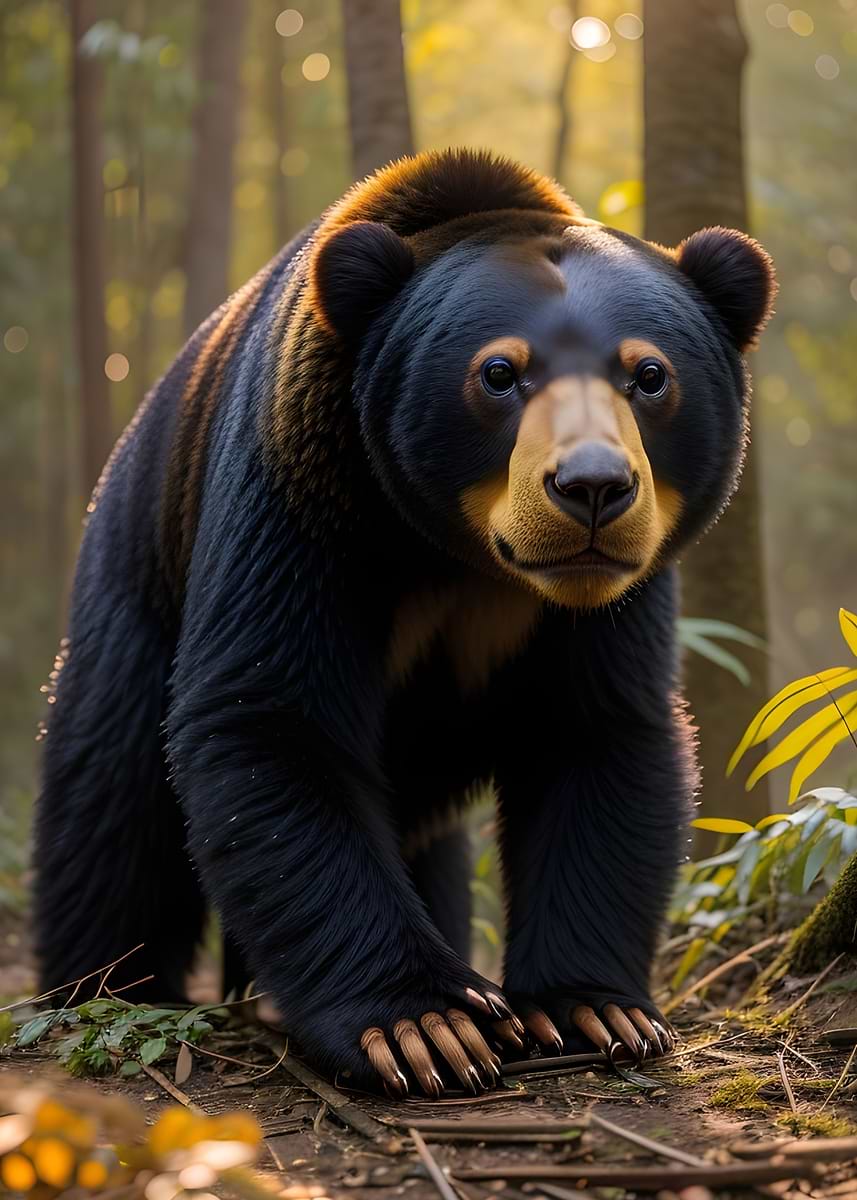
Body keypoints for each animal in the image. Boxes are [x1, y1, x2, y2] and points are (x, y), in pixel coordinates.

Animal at [33, 149, 775, 1097]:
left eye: (648, 375)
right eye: (498, 372)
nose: (591, 490)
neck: (459, 555)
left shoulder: (613, 598)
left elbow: (598, 735)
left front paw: (591, 1007)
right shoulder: (304, 501)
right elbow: (270, 723)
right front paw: (427, 1026)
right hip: (137, 581)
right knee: (111, 801)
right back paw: (107, 990)